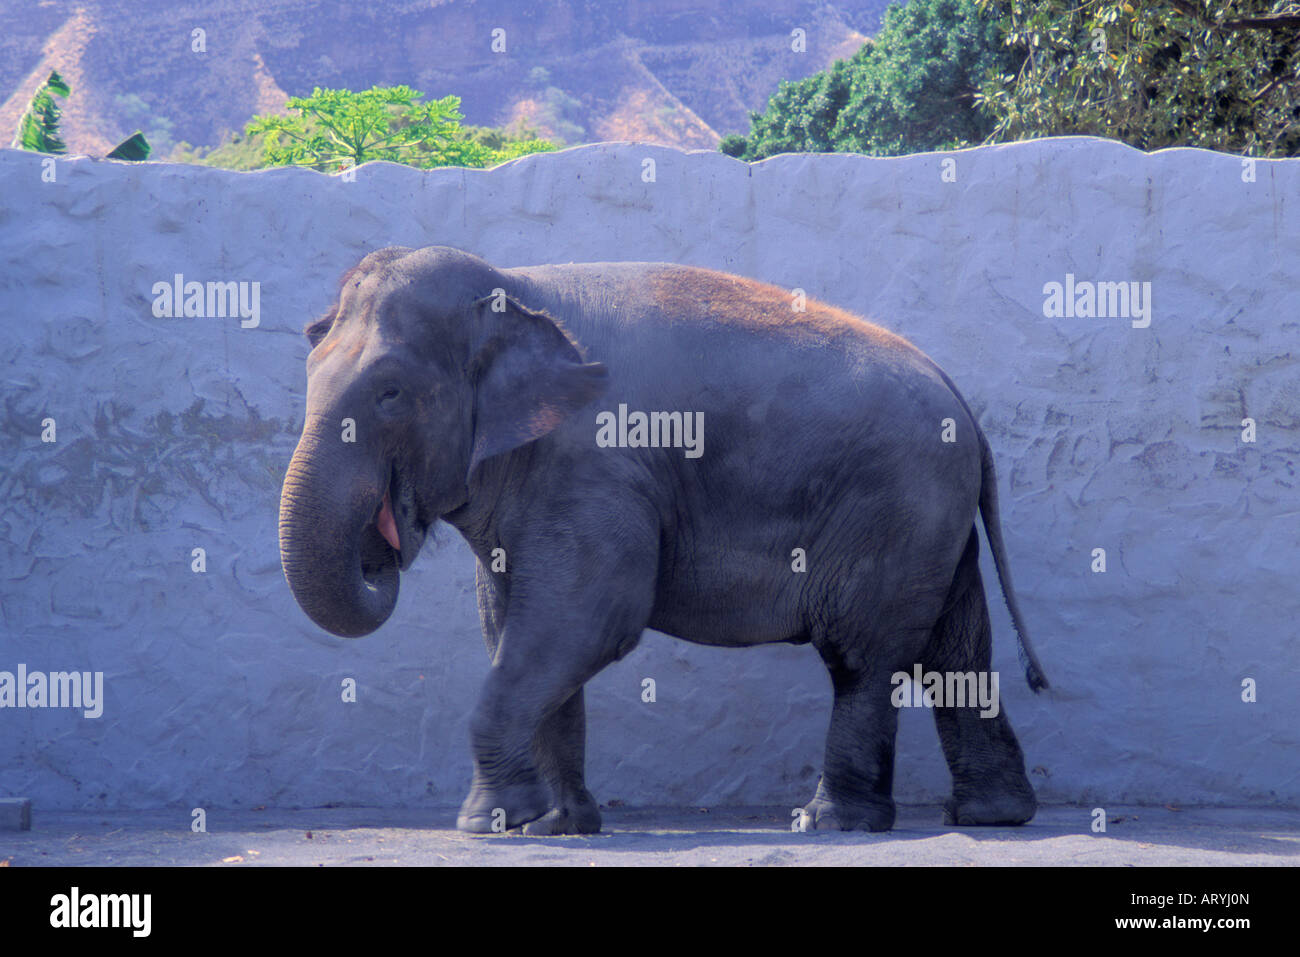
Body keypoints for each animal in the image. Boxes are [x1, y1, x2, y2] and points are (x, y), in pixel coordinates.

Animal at [278, 244, 1049, 835]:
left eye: (390, 393)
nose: (383, 542)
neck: (515, 287)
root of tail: (964, 405)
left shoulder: (599, 467)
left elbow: (587, 618)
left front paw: (491, 825)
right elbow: (513, 624)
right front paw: (560, 827)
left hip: (893, 508)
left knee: (862, 658)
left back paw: (832, 823)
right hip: (934, 519)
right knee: (954, 650)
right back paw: (990, 816)